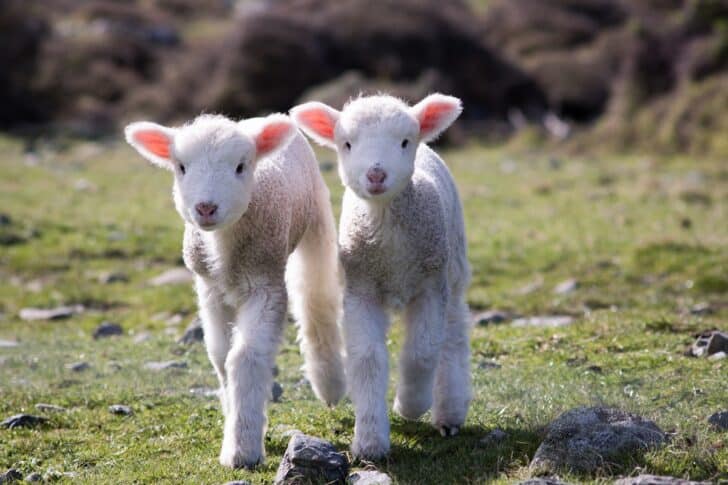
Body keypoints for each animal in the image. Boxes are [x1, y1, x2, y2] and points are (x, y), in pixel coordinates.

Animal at [124, 113, 345, 468]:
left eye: (241, 166)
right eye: (181, 167)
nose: (205, 208)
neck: (223, 249)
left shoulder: (266, 286)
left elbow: (244, 357)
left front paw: (242, 449)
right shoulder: (209, 290)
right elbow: (219, 355)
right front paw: (231, 420)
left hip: (316, 219)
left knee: (316, 296)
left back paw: (329, 384)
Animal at [291, 93, 472, 459]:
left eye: (404, 141)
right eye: (346, 144)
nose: (376, 174)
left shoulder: (430, 286)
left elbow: (422, 351)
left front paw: (410, 406)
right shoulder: (360, 290)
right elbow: (367, 359)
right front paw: (370, 442)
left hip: (453, 266)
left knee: (453, 335)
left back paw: (449, 413)